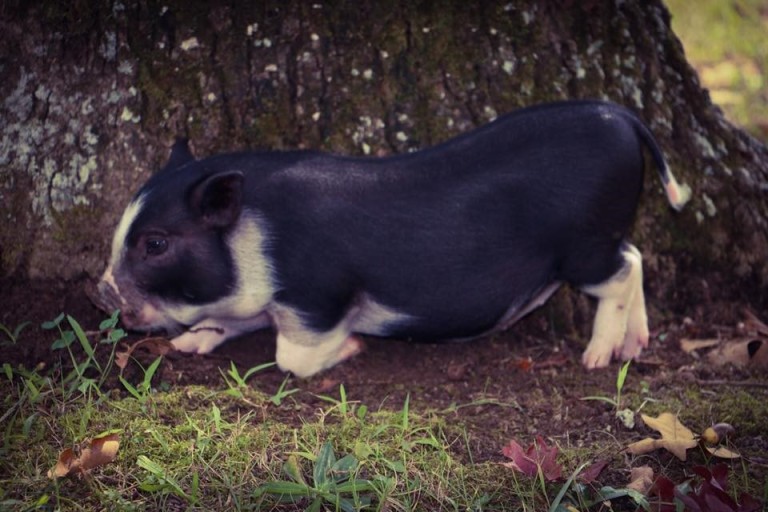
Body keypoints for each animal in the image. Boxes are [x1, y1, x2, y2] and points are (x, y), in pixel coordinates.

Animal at [94, 100, 691, 378]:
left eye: (155, 244)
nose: (100, 292)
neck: (257, 239)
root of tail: (615, 113)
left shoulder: (318, 293)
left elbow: (292, 356)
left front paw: (355, 347)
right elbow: (230, 322)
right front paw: (185, 344)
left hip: (583, 245)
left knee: (622, 272)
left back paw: (596, 358)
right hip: (602, 235)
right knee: (635, 256)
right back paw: (634, 347)